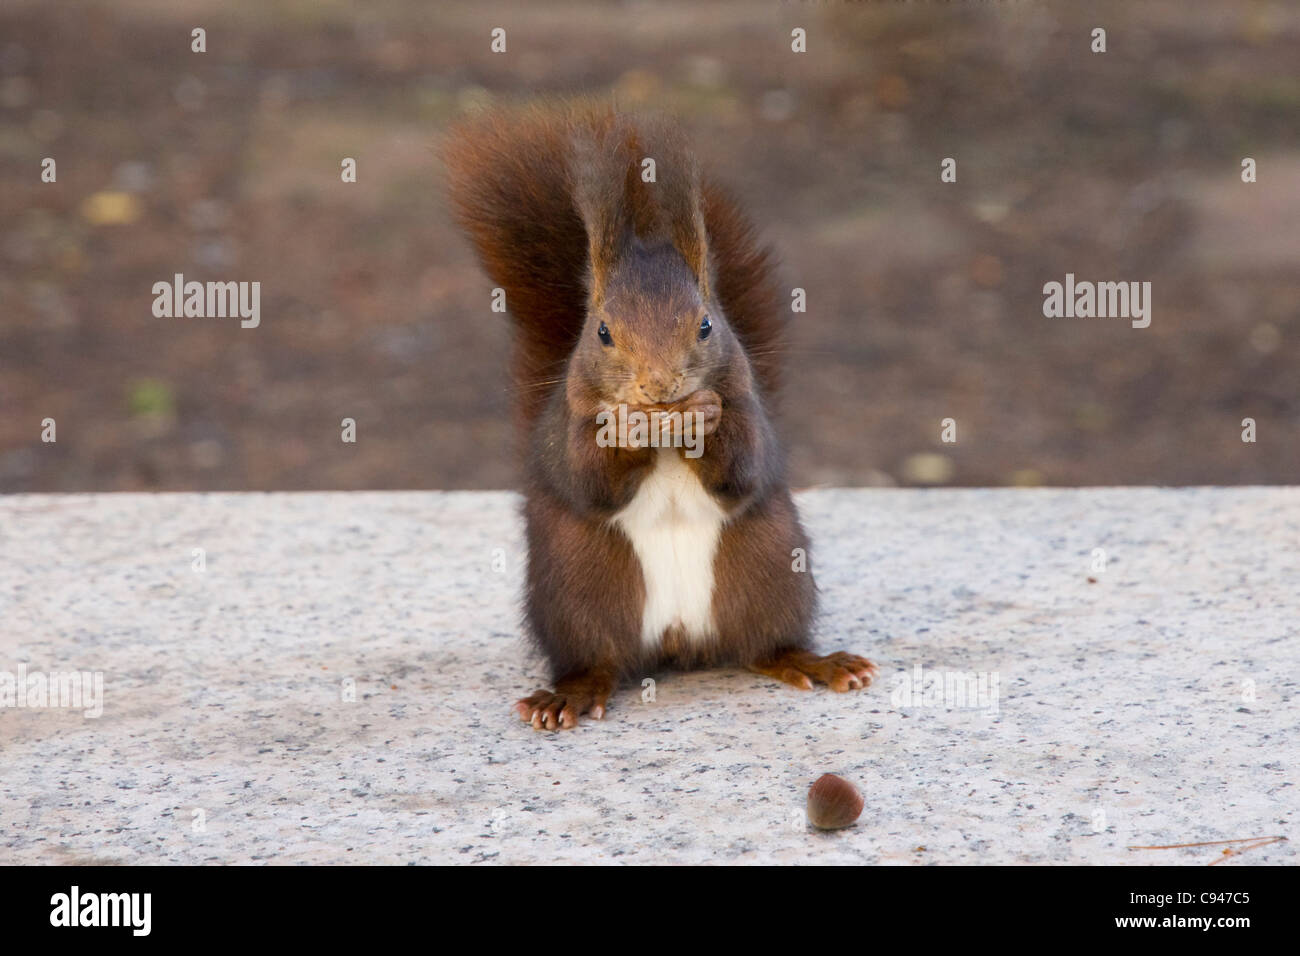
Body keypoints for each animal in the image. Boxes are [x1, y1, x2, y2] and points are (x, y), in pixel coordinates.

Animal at [445, 102, 876, 730]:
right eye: (602, 332)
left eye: (706, 325)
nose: (659, 388)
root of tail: (677, 641)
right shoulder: (568, 423)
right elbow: (588, 479)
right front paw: (625, 428)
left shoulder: (749, 403)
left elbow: (744, 468)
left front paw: (705, 417)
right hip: (577, 593)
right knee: (600, 659)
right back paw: (569, 694)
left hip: (771, 569)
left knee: (762, 646)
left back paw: (814, 662)